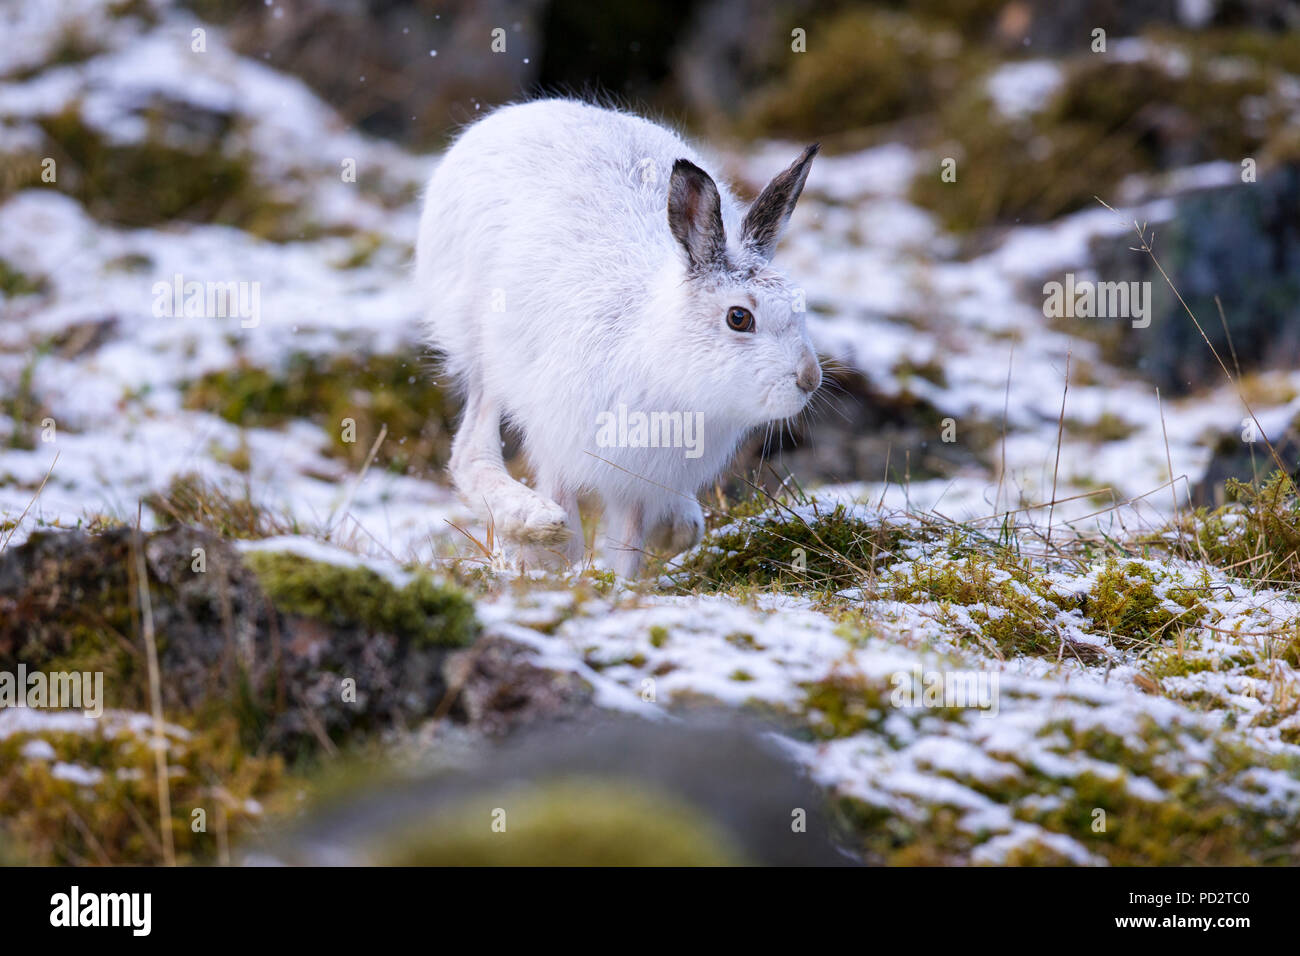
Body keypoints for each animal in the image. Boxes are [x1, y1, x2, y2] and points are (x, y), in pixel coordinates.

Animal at [415, 98, 821, 577]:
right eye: (739, 318)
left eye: (799, 305)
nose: (809, 379)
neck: (662, 358)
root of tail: (517, 113)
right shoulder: (561, 430)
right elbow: (567, 508)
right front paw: (555, 558)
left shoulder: (640, 479)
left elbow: (628, 540)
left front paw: (622, 583)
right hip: (485, 349)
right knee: (470, 448)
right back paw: (532, 520)